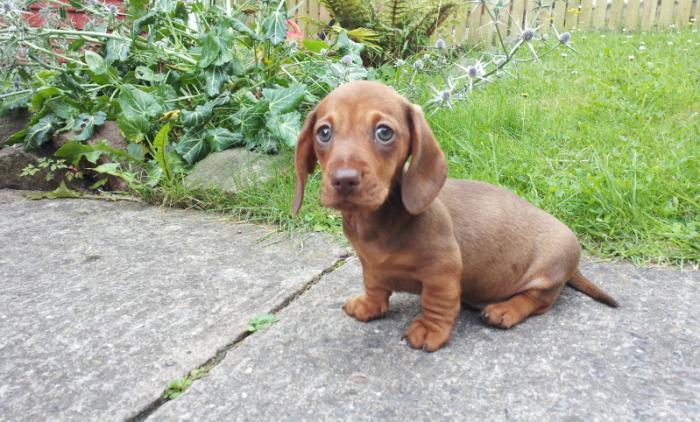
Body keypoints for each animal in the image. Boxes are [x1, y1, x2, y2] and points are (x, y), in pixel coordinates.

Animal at [290, 81, 616, 352]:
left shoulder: (442, 271)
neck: (375, 223)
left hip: (548, 273)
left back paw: (504, 310)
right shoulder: (369, 264)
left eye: (384, 132)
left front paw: (429, 330)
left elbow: (437, 303)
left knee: (539, 301)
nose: (343, 180)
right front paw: (369, 305)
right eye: (324, 132)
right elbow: (374, 285)